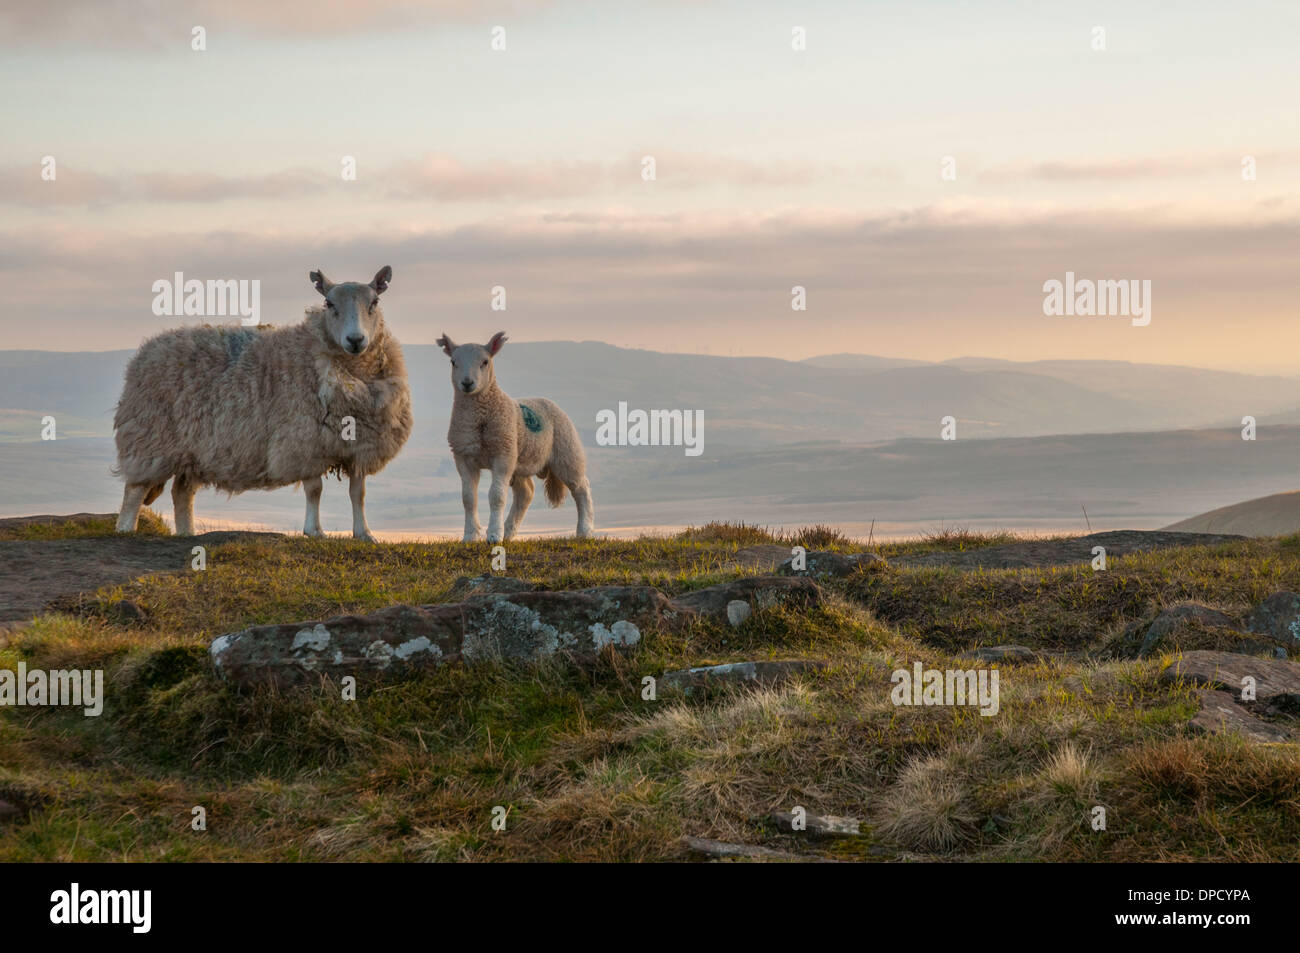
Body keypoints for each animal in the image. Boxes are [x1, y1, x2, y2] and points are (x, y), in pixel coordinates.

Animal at [113, 266, 413, 541]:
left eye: (375, 302)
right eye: (329, 303)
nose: (355, 340)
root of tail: (147, 349)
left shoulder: (361, 446)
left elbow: (358, 493)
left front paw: (364, 534)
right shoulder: (304, 444)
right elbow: (314, 490)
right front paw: (314, 531)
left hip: (193, 450)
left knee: (182, 492)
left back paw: (187, 534)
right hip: (149, 439)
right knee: (135, 490)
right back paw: (126, 529)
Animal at [436, 331, 594, 542]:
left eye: (485, 362)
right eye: (453, 362)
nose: (467, 383)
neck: (479, 418)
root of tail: (547, 401)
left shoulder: (503, 454)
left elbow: (496, 496)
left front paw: (494, 535)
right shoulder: (464, 455)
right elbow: (468, 498)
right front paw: (470, 536)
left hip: (566, 451)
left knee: (581, 488)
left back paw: (585, 530)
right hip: (521, 460)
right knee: (525, 493)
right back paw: (509, 531)